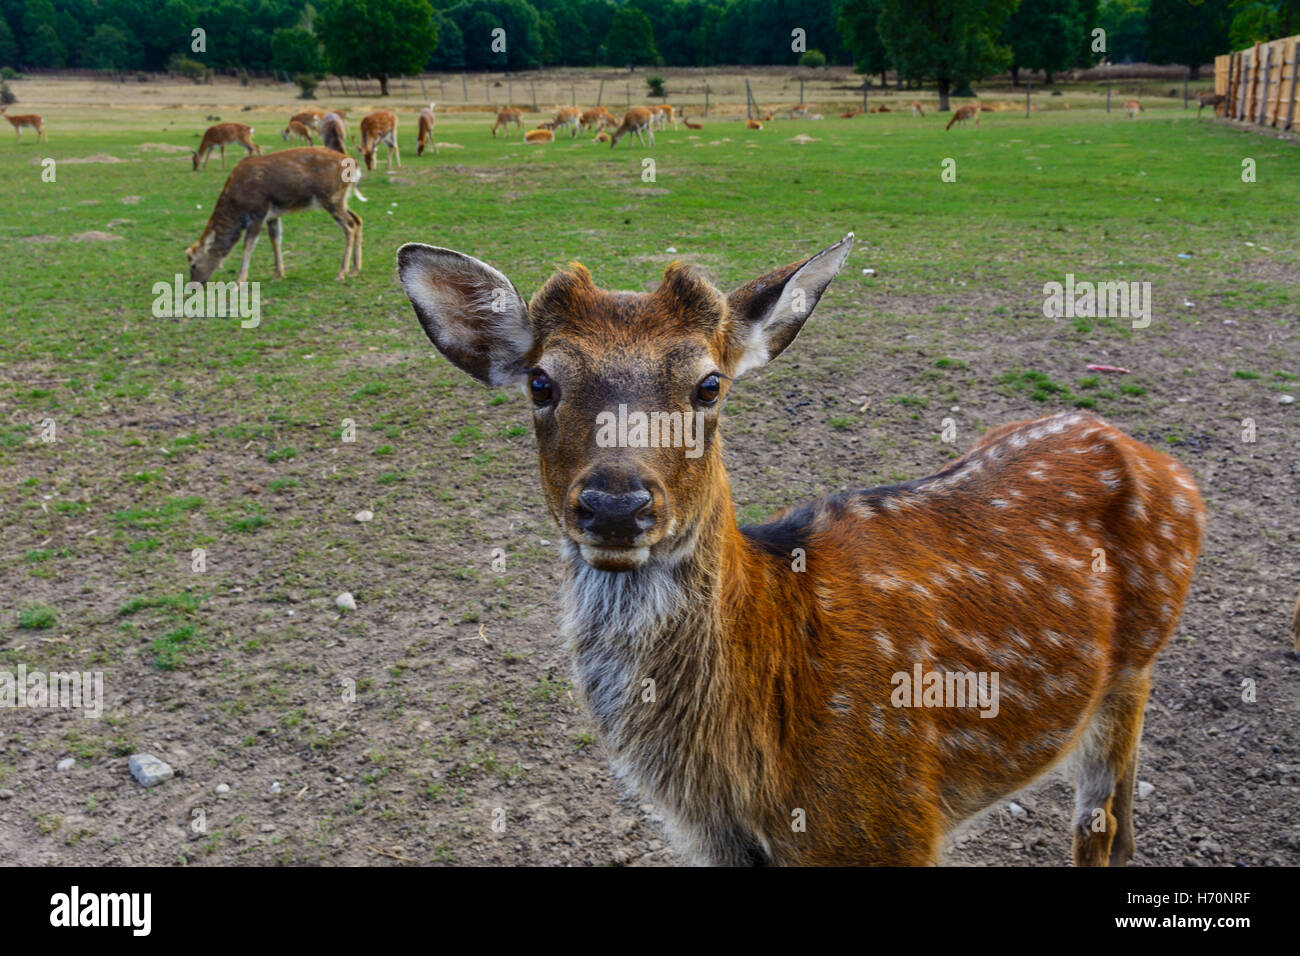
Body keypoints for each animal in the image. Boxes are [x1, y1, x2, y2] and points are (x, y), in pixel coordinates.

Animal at [186, 147, 363, 284]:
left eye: (193, 264)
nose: (193, 285)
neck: (236, 205)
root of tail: (355, 164)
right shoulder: (272, 216)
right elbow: (275, 239)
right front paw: (278, 274)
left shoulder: (258, 211)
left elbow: (248, 244)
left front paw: (239, 281)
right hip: (341, 199)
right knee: (357, 219)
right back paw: (355, 269)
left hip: (331, 198)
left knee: (349, 226)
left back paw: (341, 273)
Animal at [394, 234, 1205, 867]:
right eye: (540, 382)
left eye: (709, 385)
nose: (617, 504)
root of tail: (1156, 458)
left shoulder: (898, 826)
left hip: (1134, 667)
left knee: (1100, 828)